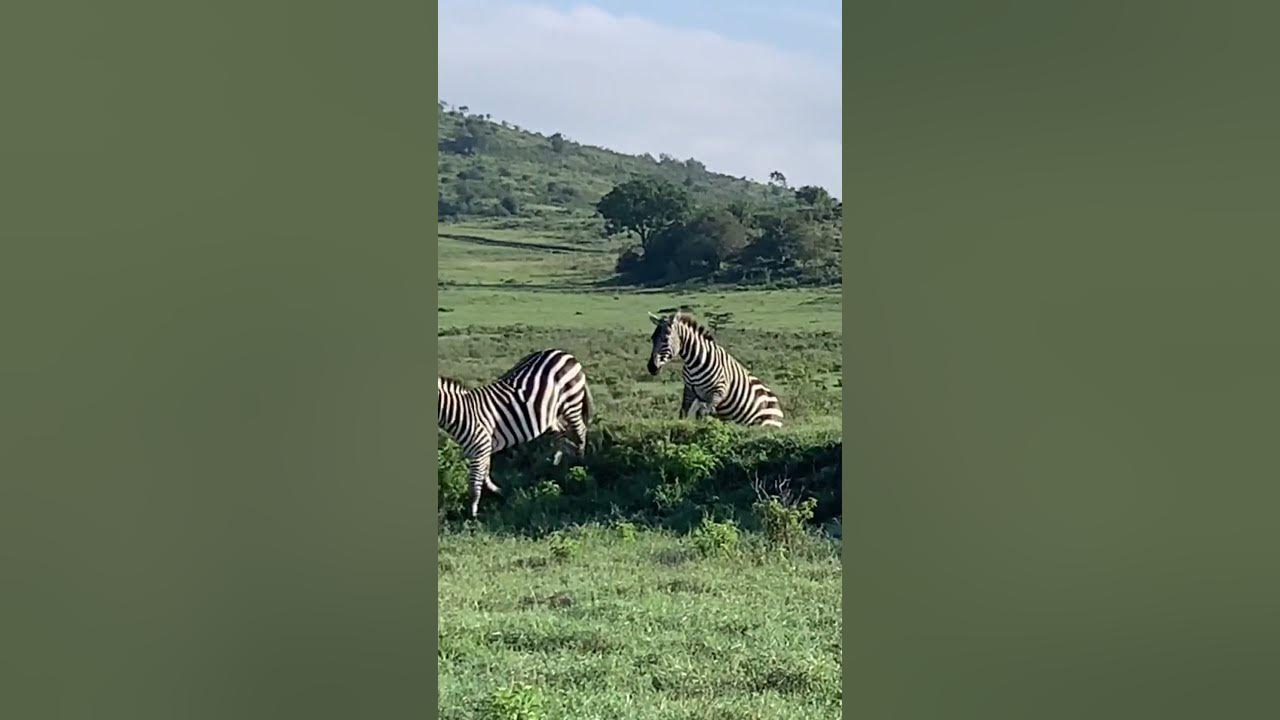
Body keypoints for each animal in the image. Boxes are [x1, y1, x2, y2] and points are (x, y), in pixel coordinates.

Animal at [437, 349, 594, 517]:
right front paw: (498, 491)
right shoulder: (482, 450)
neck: (461, 414)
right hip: (550, 413)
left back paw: (579, 463)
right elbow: (485, 474)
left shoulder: (480, 449)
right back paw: (555, 461)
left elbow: (475, 484)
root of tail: (564, 353)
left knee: (580, 430)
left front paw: (472, 514)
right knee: (561, 433)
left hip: (572, 402)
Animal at [646, 311, 783, 428]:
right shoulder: (689, 390)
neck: (694, 362)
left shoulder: (718, 392)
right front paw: (680, 427)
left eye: (665, 339)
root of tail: (779, 408)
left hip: (765, 423)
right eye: (652, 338)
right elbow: (683, 413)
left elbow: (701, 413)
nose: (651, 367)